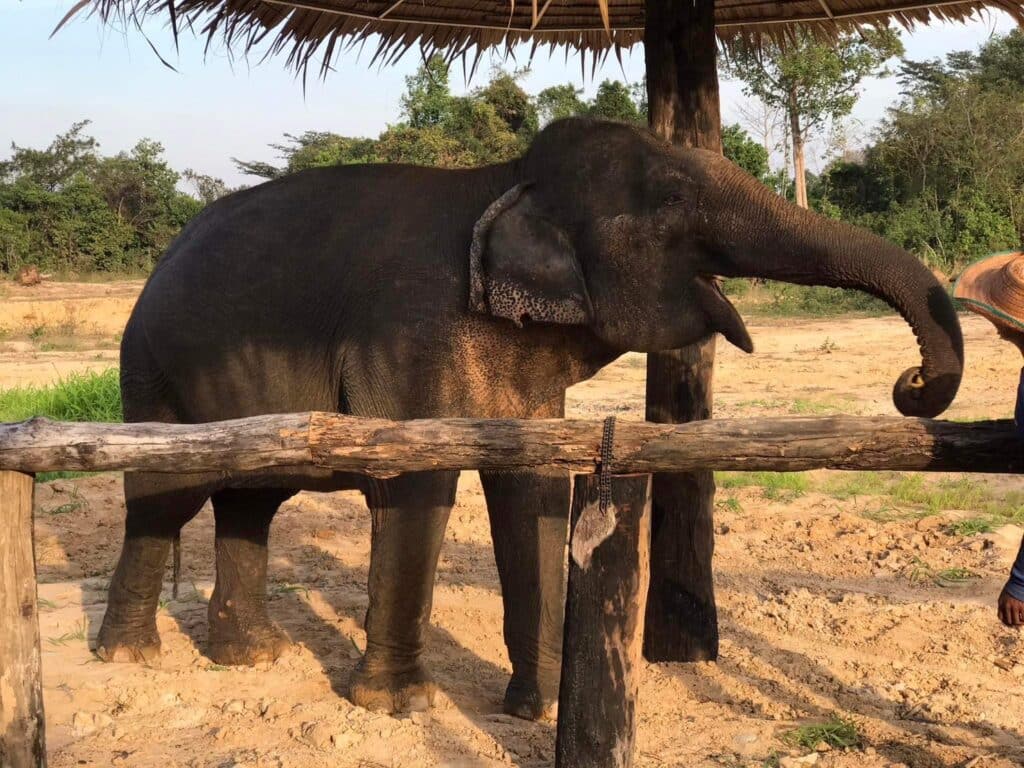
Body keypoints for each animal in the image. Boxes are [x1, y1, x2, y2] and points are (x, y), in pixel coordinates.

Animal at [95, 117, 963, 720]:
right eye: (675, 201)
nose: (913, 381)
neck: (504, 180)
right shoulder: (408, 339)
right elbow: (416, 488)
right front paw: (398, 707)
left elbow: (536, 489)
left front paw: (536, 708)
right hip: (152, 376)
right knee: (166, 498)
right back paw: (132, 659)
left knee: (251, 500)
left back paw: (251, 657)